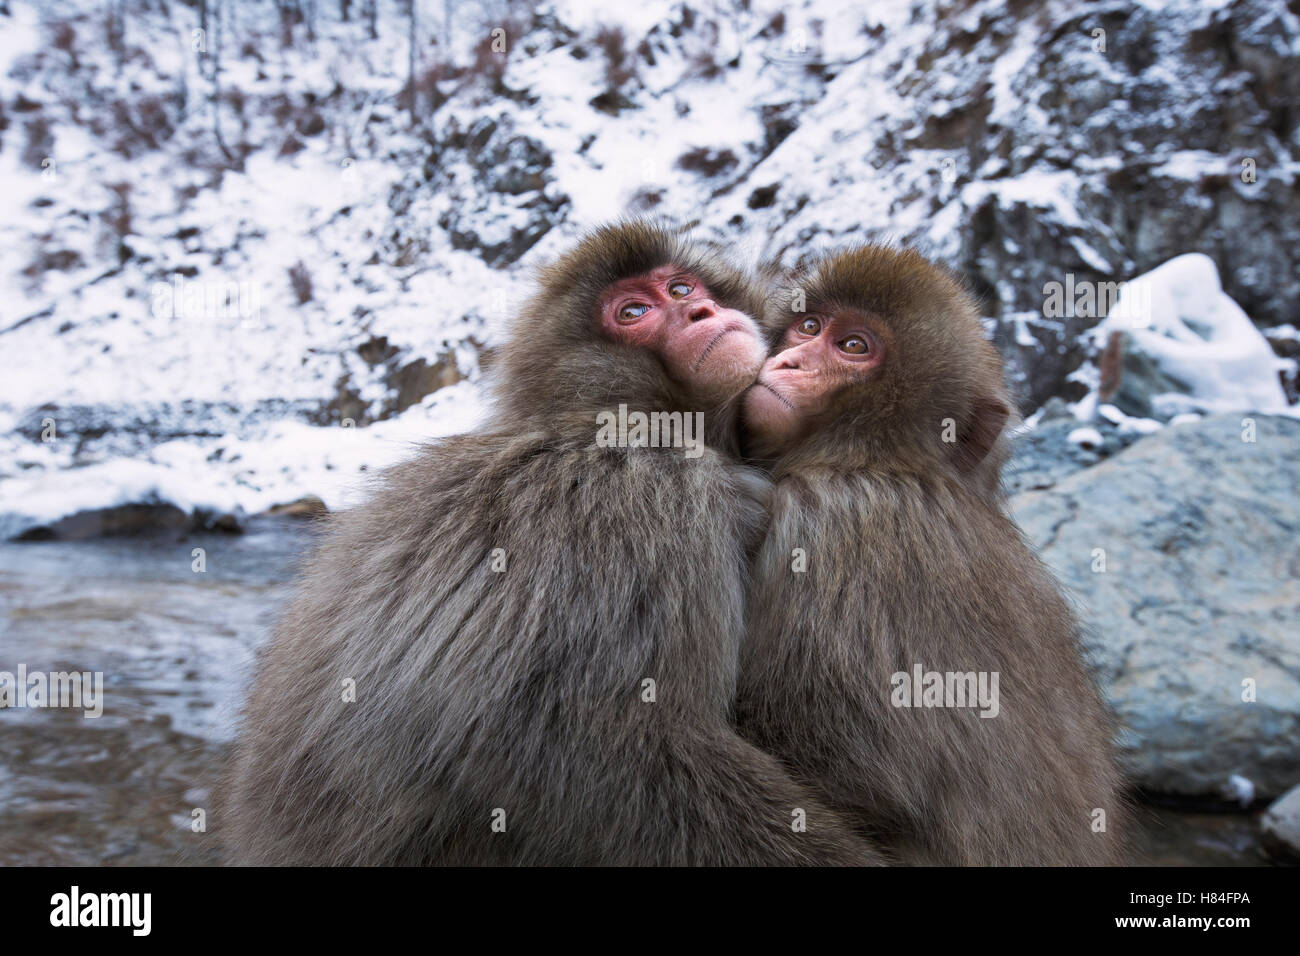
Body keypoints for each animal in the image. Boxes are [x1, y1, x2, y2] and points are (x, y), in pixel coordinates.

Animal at [222, 220, 884, 866]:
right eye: (634, 311)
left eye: (681, 289)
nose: (700, 312)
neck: (621, 417)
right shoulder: (627, 502)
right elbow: (596, 740)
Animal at [734, 244, 1127, 866]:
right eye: (809, 327)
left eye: (853, 347)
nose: (789, 362)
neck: (885, 463)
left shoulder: (838, 525)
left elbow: (846, 763)